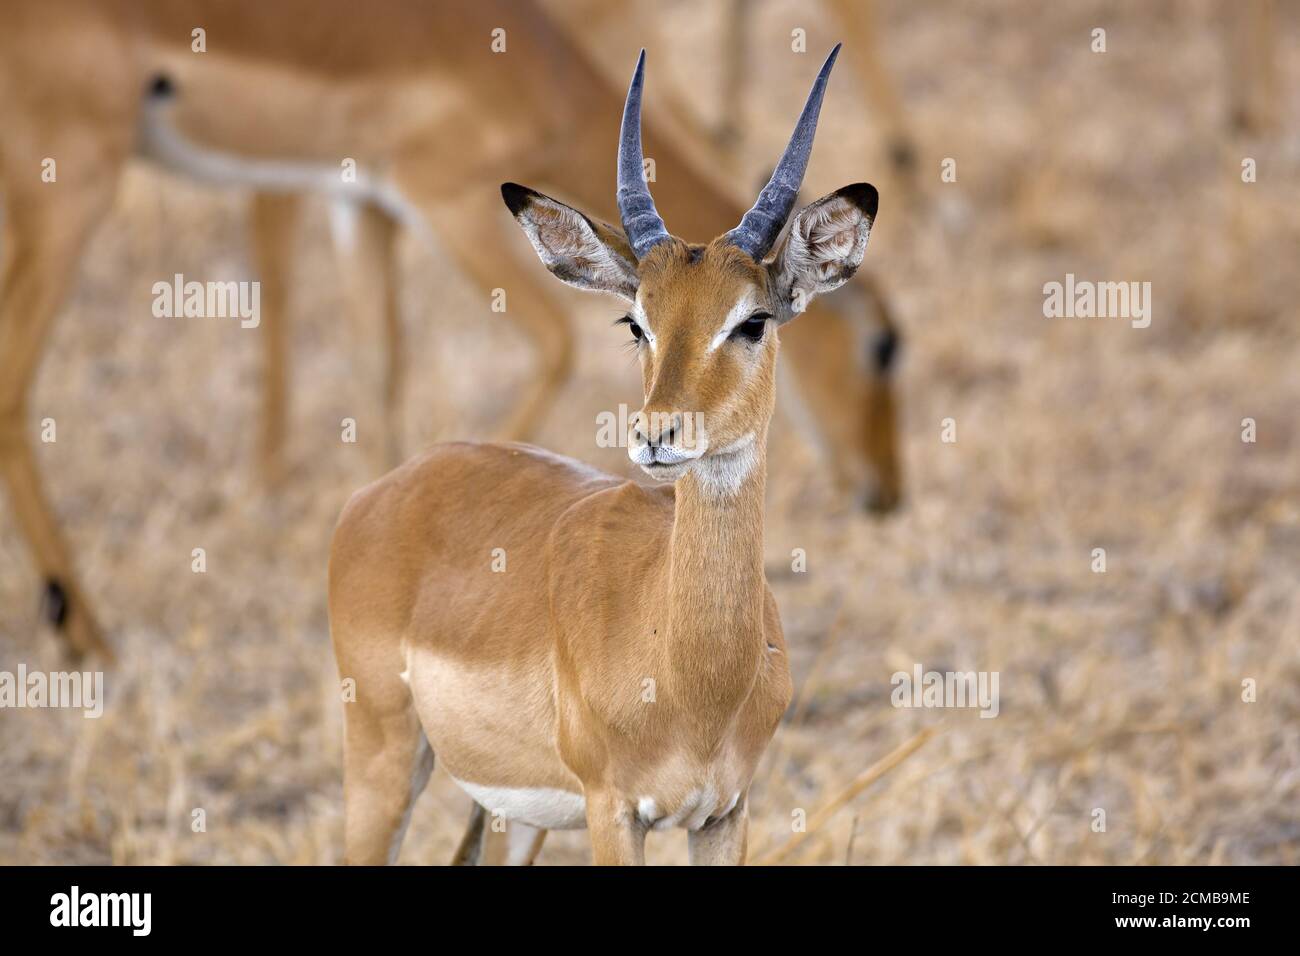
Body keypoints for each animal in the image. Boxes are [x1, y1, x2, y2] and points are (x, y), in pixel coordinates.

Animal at [0, 0, 901, 663]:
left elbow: (380, 371)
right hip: (73, 179)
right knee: (14, 376)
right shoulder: (442, 198)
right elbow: (552, 342)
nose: (887, 493)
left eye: (753, 320)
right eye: (635, 320)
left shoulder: (361, 202)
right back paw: (86, 631)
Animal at [328, 45, 876, 865]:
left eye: (753, 321)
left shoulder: (725, 813)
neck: (690, 677)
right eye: (635, 320)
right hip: (384, 757)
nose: (657, 434)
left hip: (510, 813)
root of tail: (383, 490)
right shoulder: (614, 809)